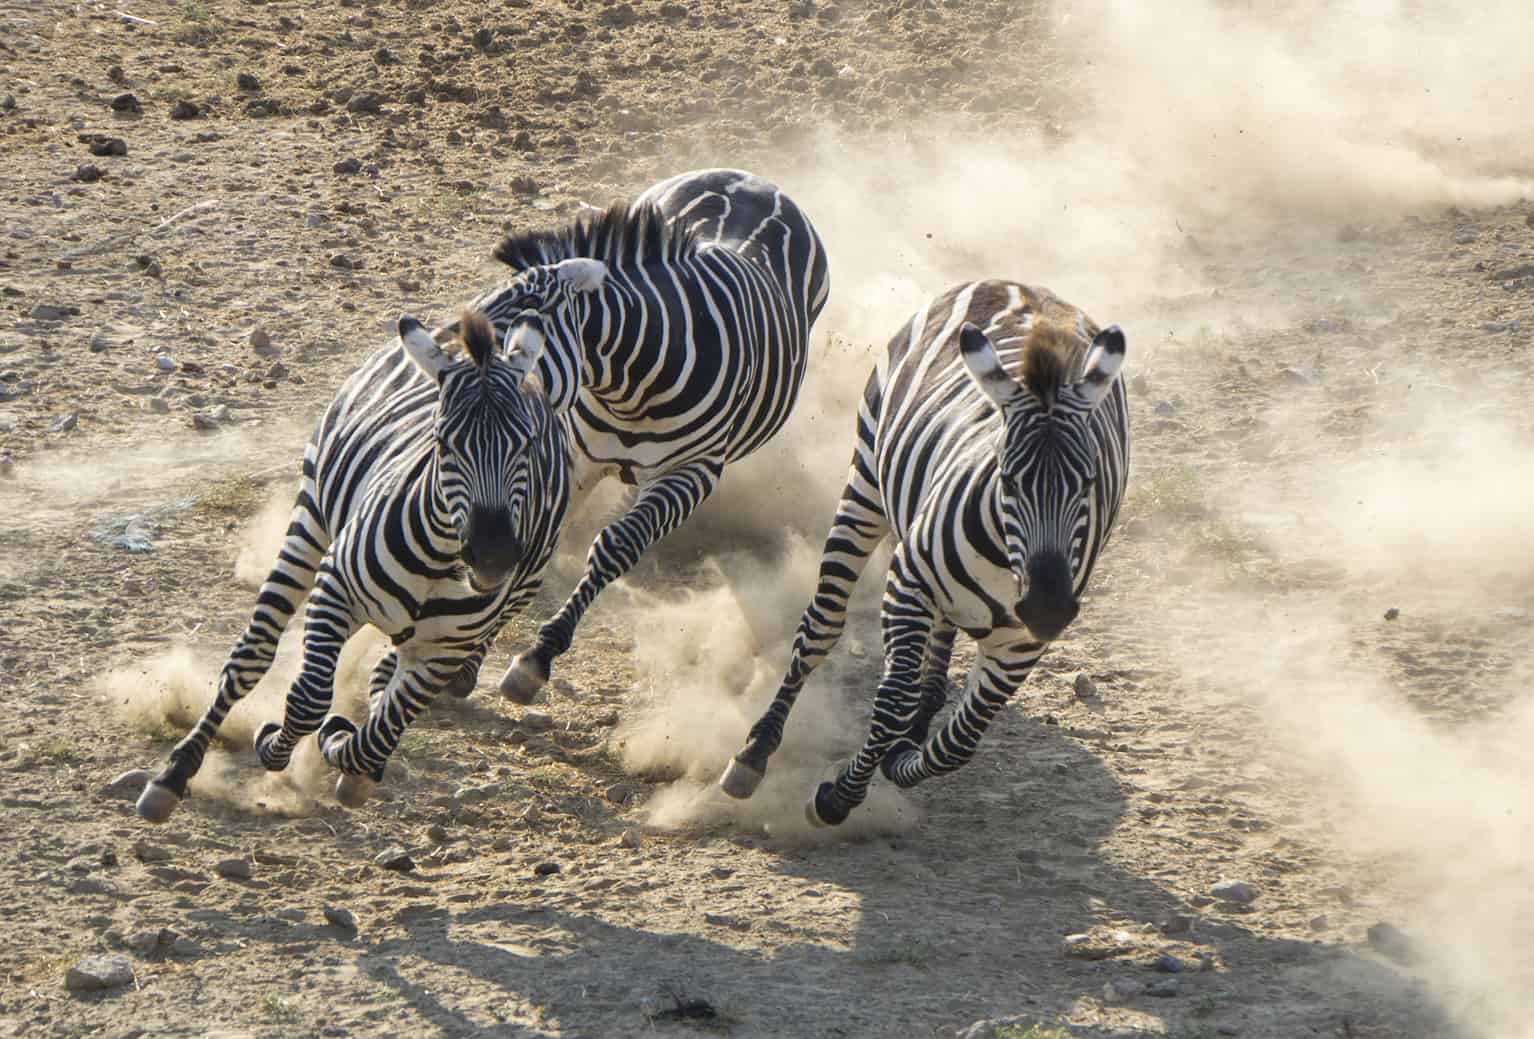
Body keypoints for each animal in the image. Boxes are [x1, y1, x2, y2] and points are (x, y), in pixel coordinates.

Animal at [137, 310, 573, 822]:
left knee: (384, 683)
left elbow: (380, 731)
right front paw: (274, 744)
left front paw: (347, 751)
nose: (493, 556)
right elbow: (309, 699)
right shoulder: (335, 589)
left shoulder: (447, 649)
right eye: (443, 443)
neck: (438, 561)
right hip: (309, 521)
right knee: (252, 656)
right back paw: (173, 775)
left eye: (527, 443)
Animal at [442, 168, 828, 704]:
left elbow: (616, 546)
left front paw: (536, 658)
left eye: (514, 343)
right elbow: (534, 539)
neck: (630, 383)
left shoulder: (692, 473)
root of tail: (754, 180)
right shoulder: (573, 453)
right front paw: (469, 655)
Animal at [717, 280, 1129, 826]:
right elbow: (891, 701)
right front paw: (837, 798)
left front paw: (899, 761)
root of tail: (1016, 285)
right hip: (865, 479)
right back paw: (755, 752)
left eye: (1087, 484)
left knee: (935, 655)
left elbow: (959, 743)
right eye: (1006, 478)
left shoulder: (1022, 645)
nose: (1047, 609)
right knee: (820, 628)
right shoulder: (908, 585)